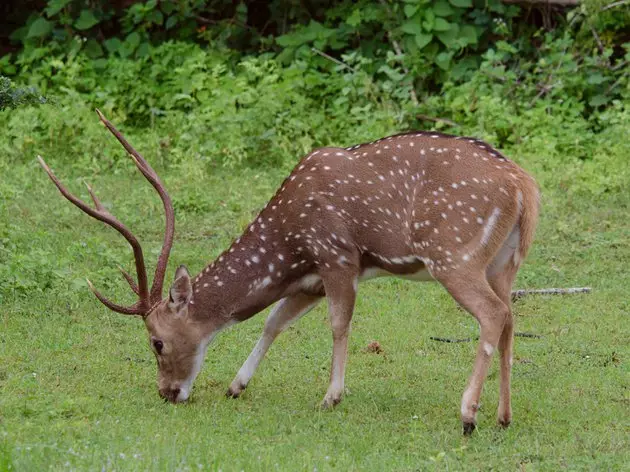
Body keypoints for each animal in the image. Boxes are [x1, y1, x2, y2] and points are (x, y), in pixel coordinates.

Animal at [39, 110, 540, 436]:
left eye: (156, 342)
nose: (168, 393)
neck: (287, 244)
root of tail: (524, 185)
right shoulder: (309, 279)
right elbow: (274, 321)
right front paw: (236, 385)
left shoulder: (337, 256)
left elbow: (338, 324)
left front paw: (331, 396)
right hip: (504, 262)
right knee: (511, 316)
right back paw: (504, 415)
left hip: (453, 255)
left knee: (492, 315)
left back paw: (468, 415)